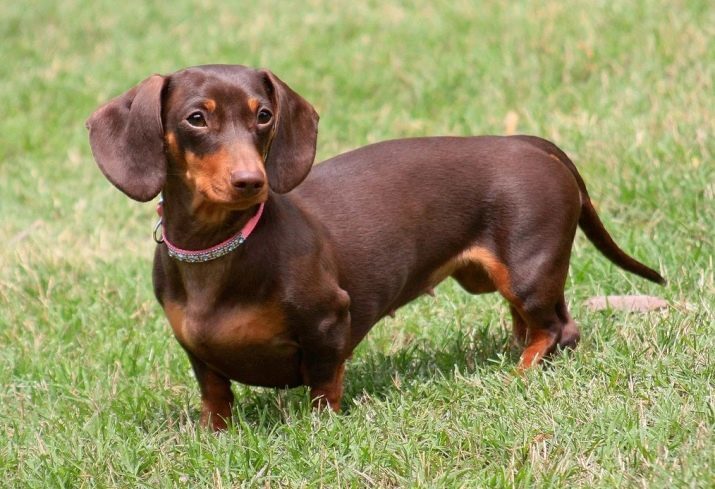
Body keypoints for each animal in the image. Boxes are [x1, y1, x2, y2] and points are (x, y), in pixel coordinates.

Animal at [88, 63, 664, 428]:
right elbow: (215, 396)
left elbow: (324, 386)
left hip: (529, 270)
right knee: (533, 326)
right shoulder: (197, 352)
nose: (253, 182)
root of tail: (528, 142)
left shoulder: (328, 322)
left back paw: (517, 376)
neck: (222, 248)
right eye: (196, 118)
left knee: (558, 329)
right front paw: (214, 436)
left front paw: (320, 429)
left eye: (263, 115)